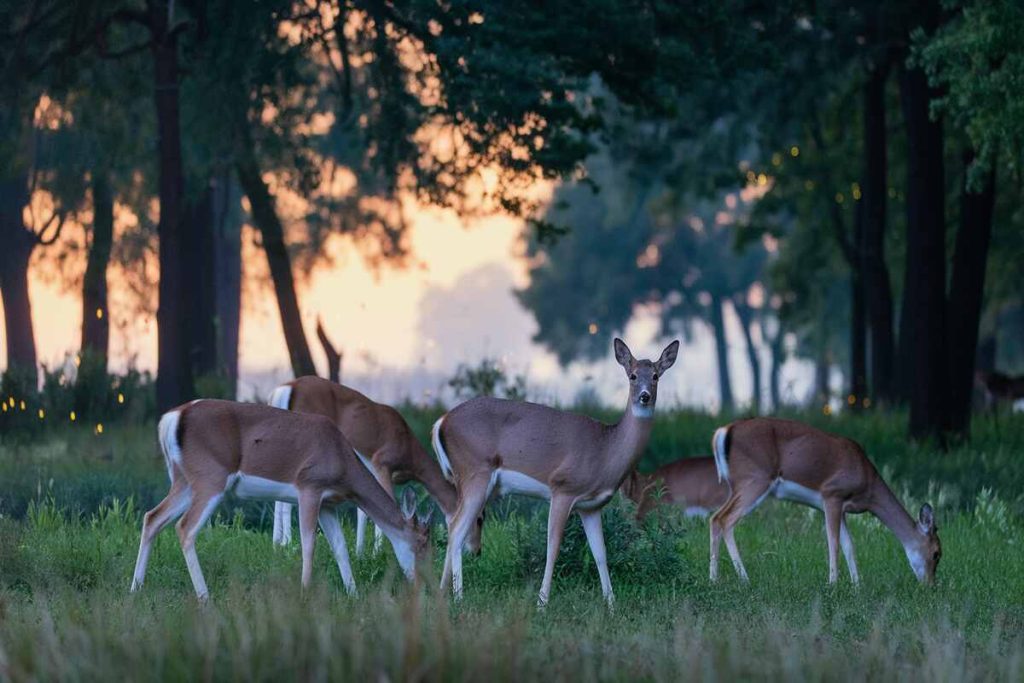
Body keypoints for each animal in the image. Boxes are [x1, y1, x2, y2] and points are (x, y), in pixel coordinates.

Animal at [129, 399, 431, 602]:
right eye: (421, 544)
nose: (421, 585)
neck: (343, 463)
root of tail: (171, 418)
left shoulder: (329, 504)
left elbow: (340, 548)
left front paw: (353, 594)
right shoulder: (309, 486)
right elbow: (309, 544)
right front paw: (304, 593)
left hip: (184, 480)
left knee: (152, 517)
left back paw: (136, 588)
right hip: (210, 478)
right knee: (185, 527)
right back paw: (205, 598)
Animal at [269, 376, 473, 556]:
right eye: (477, 519)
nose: (473, 551)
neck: (409, 449)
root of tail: (288, 387)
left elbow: (363, 511)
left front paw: (360, 552)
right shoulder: (381, 463)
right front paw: (379, 551)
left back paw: (277, 544)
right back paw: (287, 543)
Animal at [432, 338, 679, 606]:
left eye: (655, 375)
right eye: (632, 375)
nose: (645, 396)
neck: (605, 450)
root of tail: (441, 422)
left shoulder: (591, 506)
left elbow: (600, 553)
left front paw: (612, 605)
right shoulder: (563, 488)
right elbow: (553, 548)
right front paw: (542, 603)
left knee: (455, 526)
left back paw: (447, 594)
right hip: (475, 472)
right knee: (456, 528)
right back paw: (453, 596)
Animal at [709, 417, 942, 585]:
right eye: (936, 553)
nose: (929, 585)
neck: (868, 485)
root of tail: (723, 432)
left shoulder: (841, 508)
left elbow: (849, 545)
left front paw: (857, 585)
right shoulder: (832, 495)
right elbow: (834, 543)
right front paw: (833, 584)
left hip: (737, 486)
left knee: (715, 518)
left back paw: (714, 579)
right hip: (755, 480)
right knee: (723, 519)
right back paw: (742, 579)